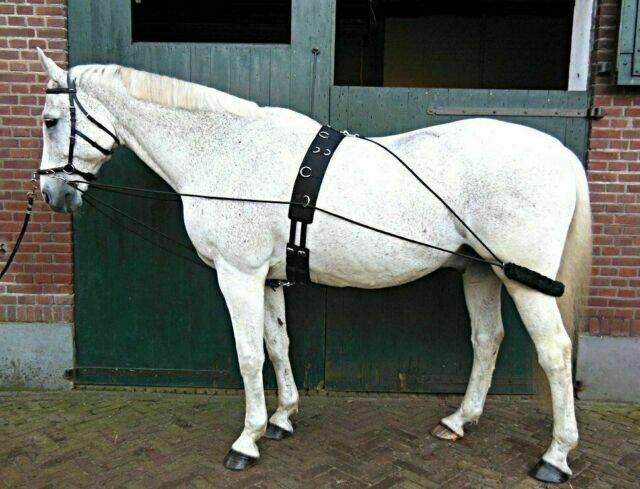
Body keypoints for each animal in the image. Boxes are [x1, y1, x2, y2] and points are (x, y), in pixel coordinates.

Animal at [35, 48, 591, 484]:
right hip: (480, 271)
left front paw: (247, 439)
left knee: (555, 353)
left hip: (524, 280)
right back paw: (459, 421)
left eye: (50, 120)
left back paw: (555, 456)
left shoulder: (238, 275)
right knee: (488, 339)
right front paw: (283, 418)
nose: (52, 194)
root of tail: (563, 155)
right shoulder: (268, 278)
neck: (225, 151)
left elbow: (248, 357)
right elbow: (277, 345)